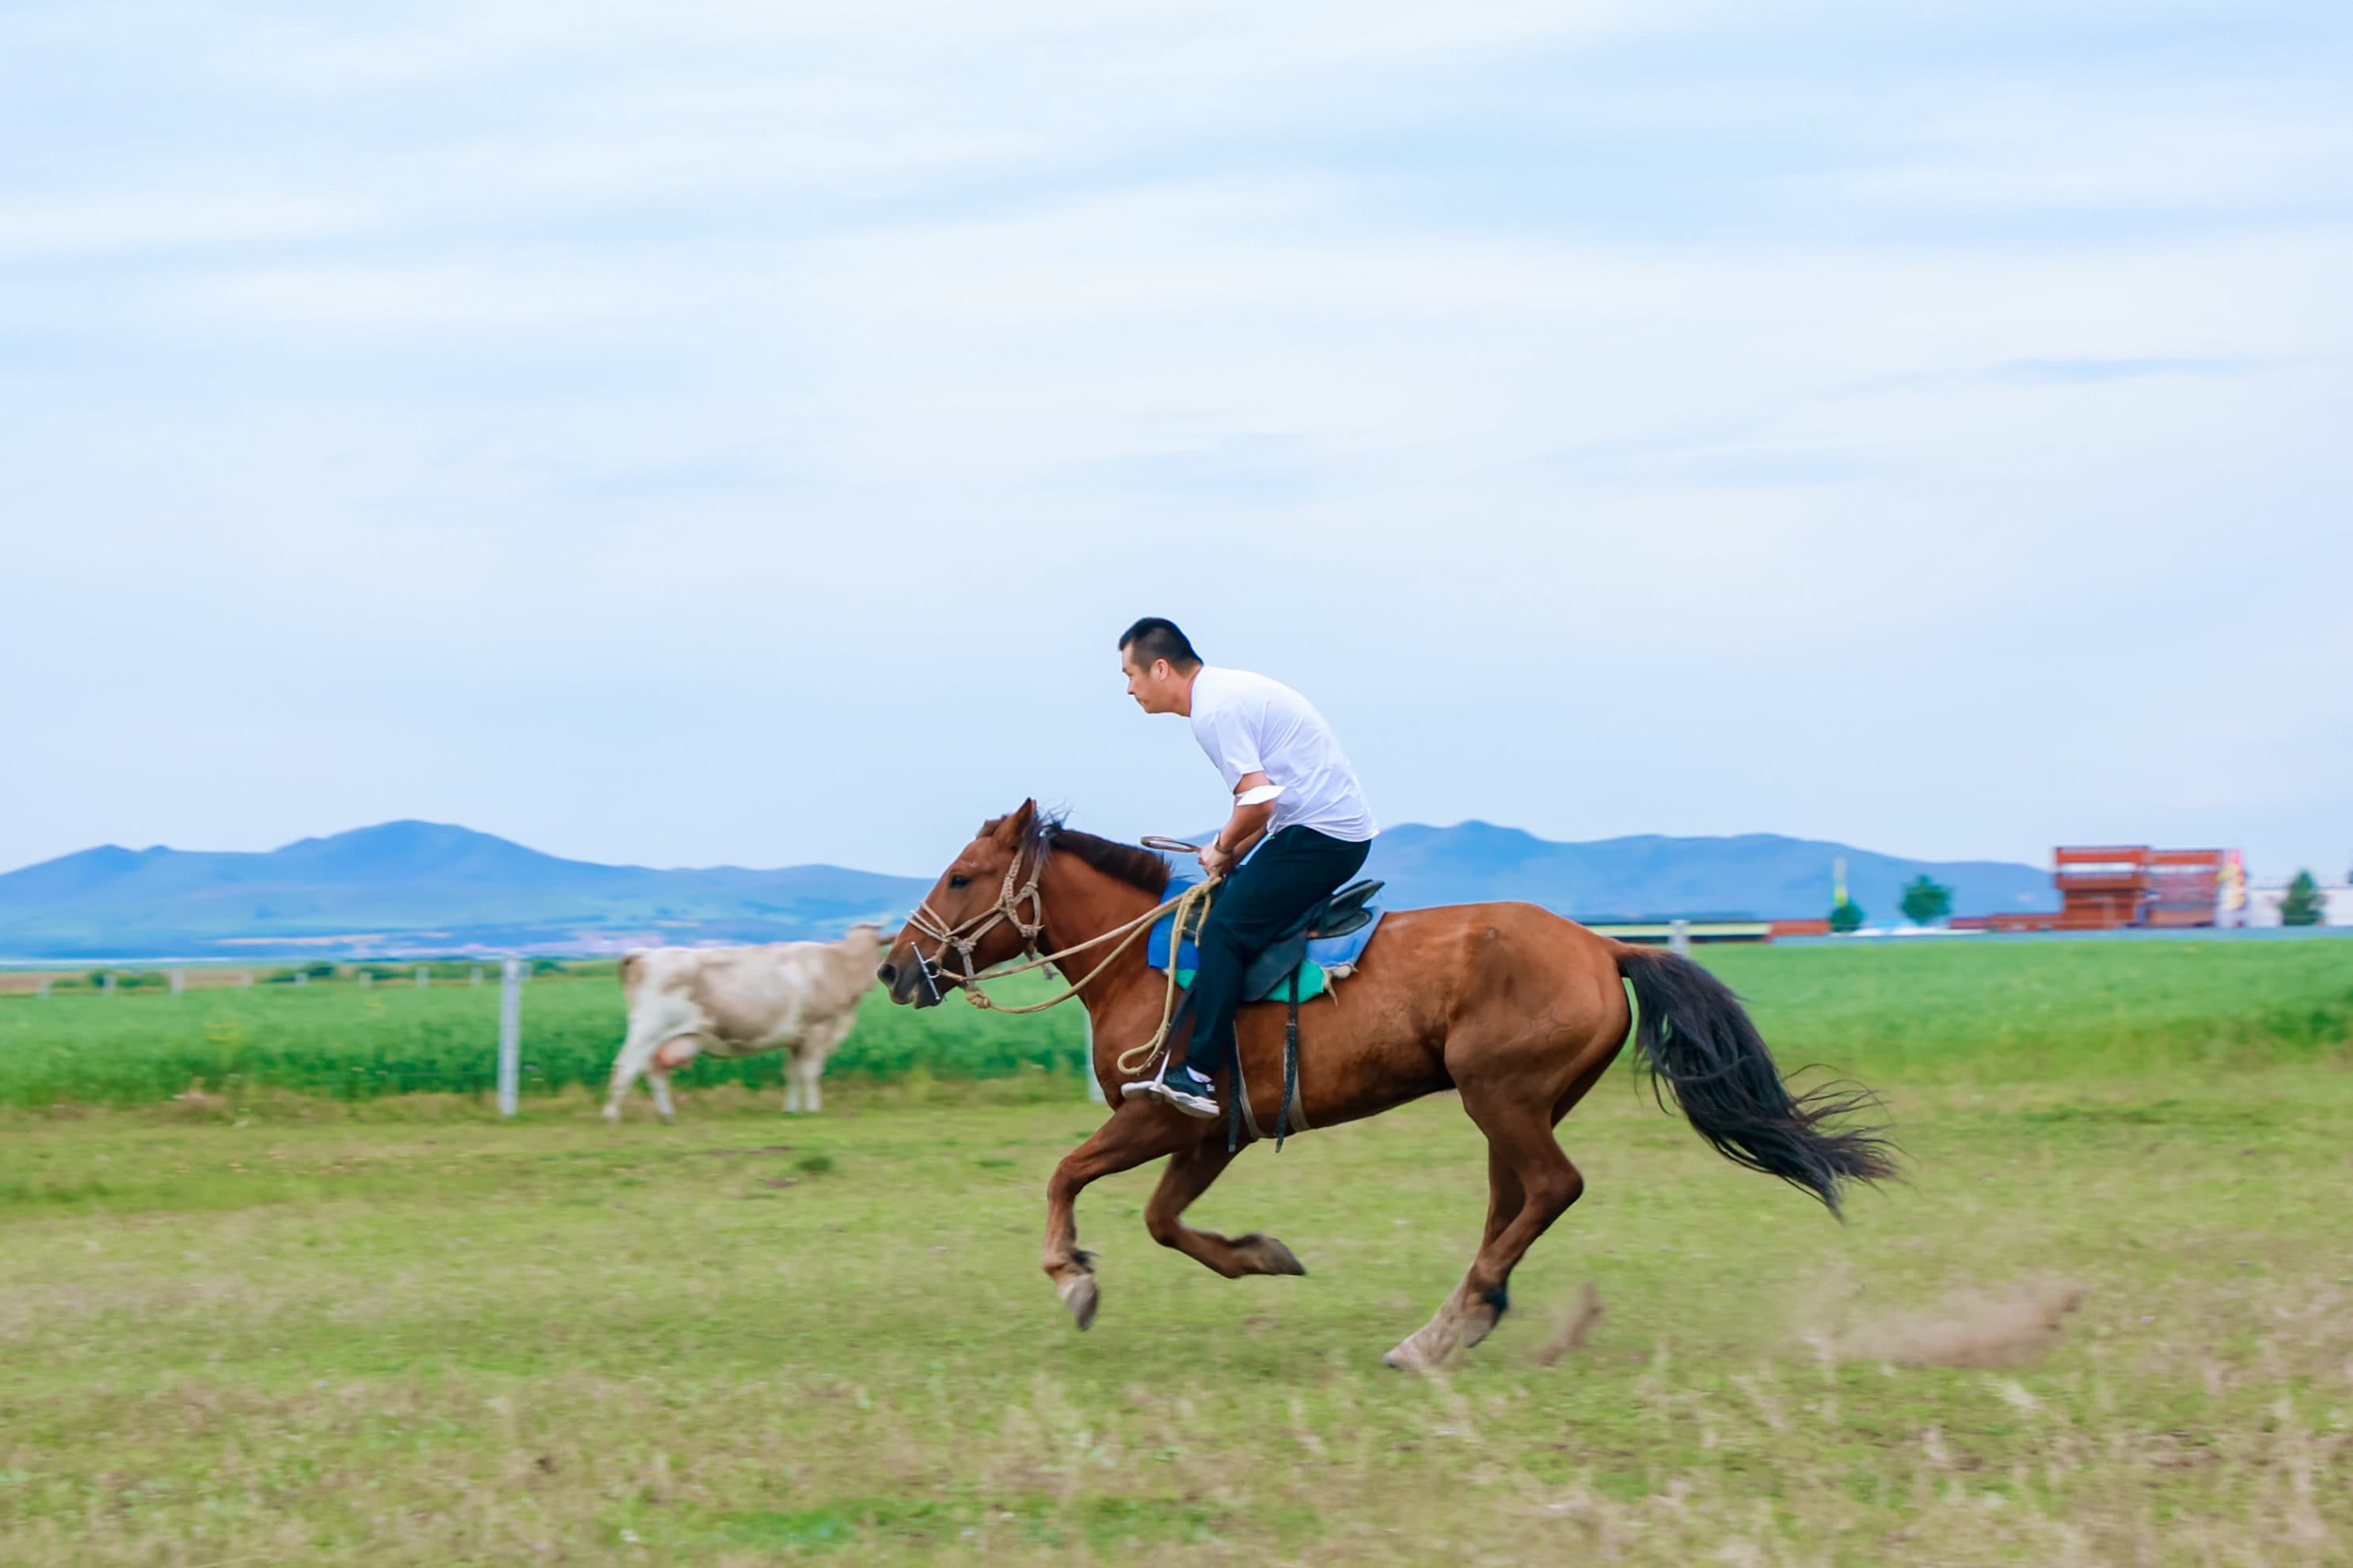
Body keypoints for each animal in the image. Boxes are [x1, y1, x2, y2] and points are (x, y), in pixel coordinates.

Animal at [877, 800, 1894, 1370]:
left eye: (962, 876)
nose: (894, 968)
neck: (1139, 962)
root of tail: (1604, 945)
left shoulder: (1161, 1116)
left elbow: (1066, 1178)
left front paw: (1071, 1279)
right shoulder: (1208, 1134)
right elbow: (1164, 1221)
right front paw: (1261, 1254)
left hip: (1502, 1098)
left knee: (1550, 1189)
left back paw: (1441, 1331)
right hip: (1516, 1105)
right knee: (1514, 1203)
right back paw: (1458, 1322)